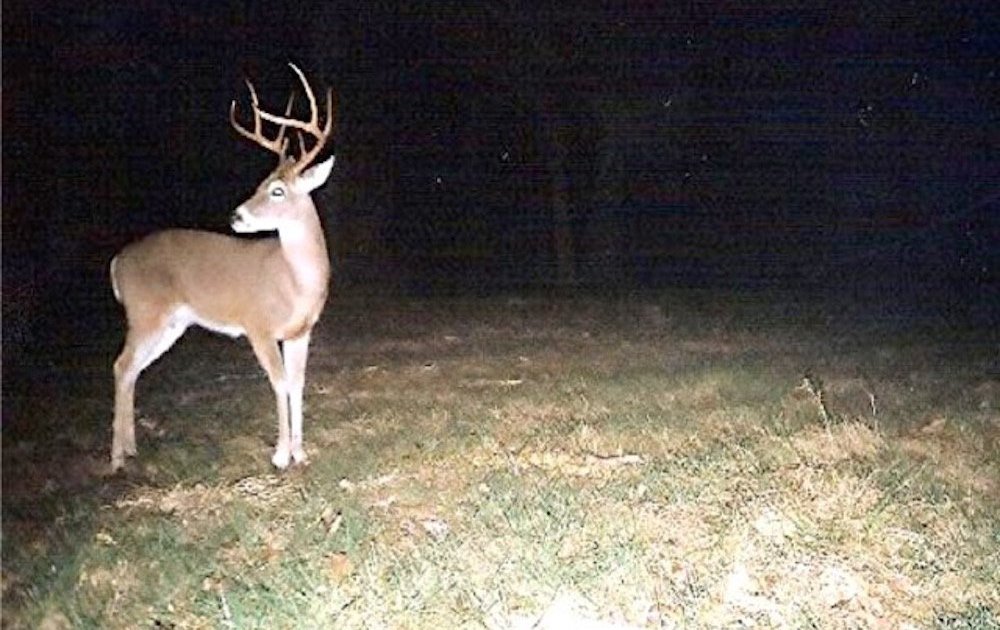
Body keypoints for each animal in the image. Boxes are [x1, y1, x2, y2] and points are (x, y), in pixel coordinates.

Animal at [109, 64, 335, 472]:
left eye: (277, 190)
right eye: (261, 183)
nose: (236, 216)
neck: (294, 283)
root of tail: (117, 262)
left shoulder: (300, 332)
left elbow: (297, 384)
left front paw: (300, 452)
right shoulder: (258, 325)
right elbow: (279, 383)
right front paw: (281, 455)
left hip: (171, 324)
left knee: (133, 368)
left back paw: (130, 449)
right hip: (144, 311)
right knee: (121, 364)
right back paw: (117, 458)